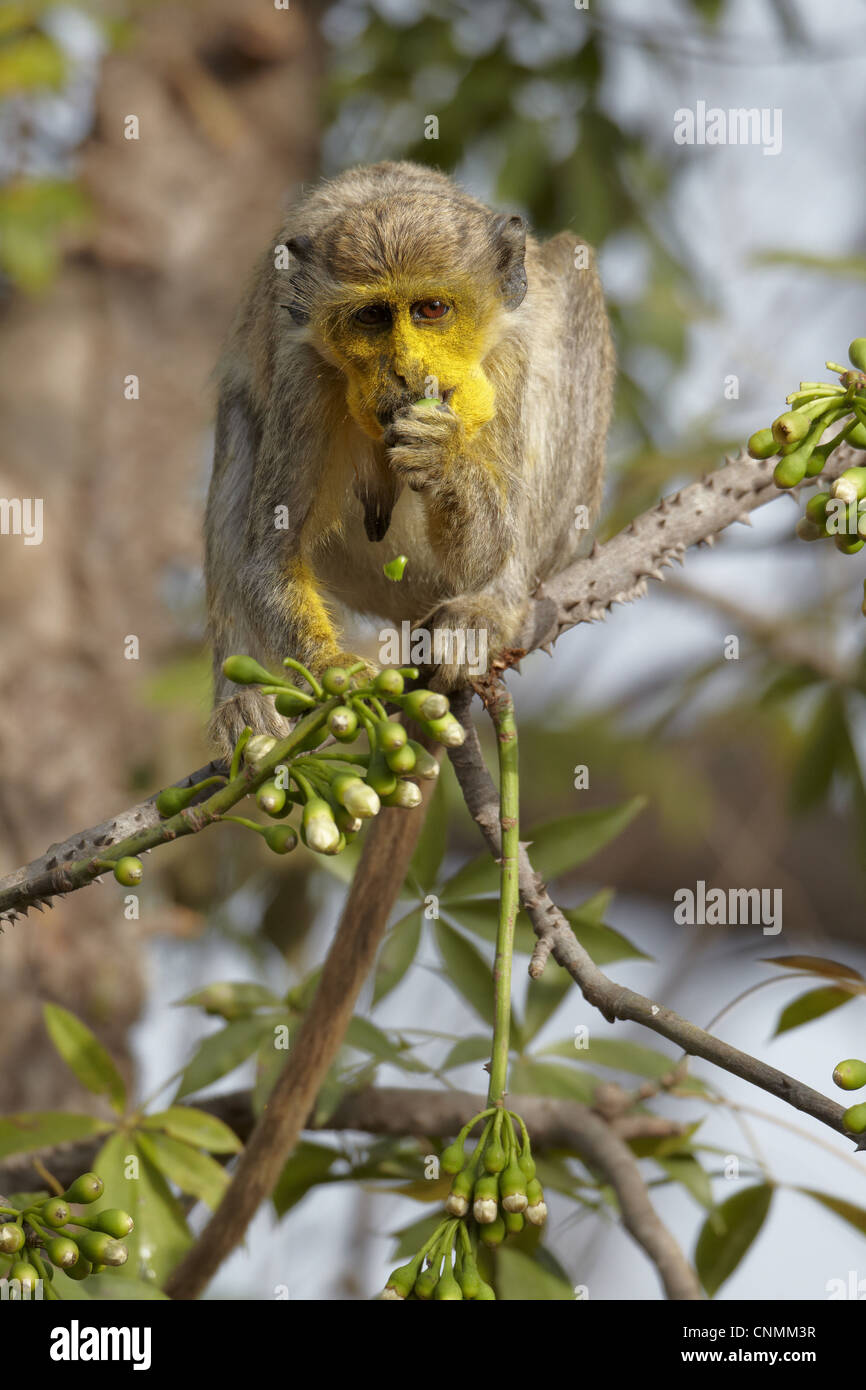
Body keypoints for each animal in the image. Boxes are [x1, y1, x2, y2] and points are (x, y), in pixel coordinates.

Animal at [205, 160, 615, 755]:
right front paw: (336, 672)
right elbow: (270, 556)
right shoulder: (300, 369)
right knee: (238, 428)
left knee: (574, 269)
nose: (403, 370)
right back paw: (241, 703)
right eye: (372, 317)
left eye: (432, 310)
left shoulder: (508, 352)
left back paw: (488, 609)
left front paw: (443, 459)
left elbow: (490, 548)